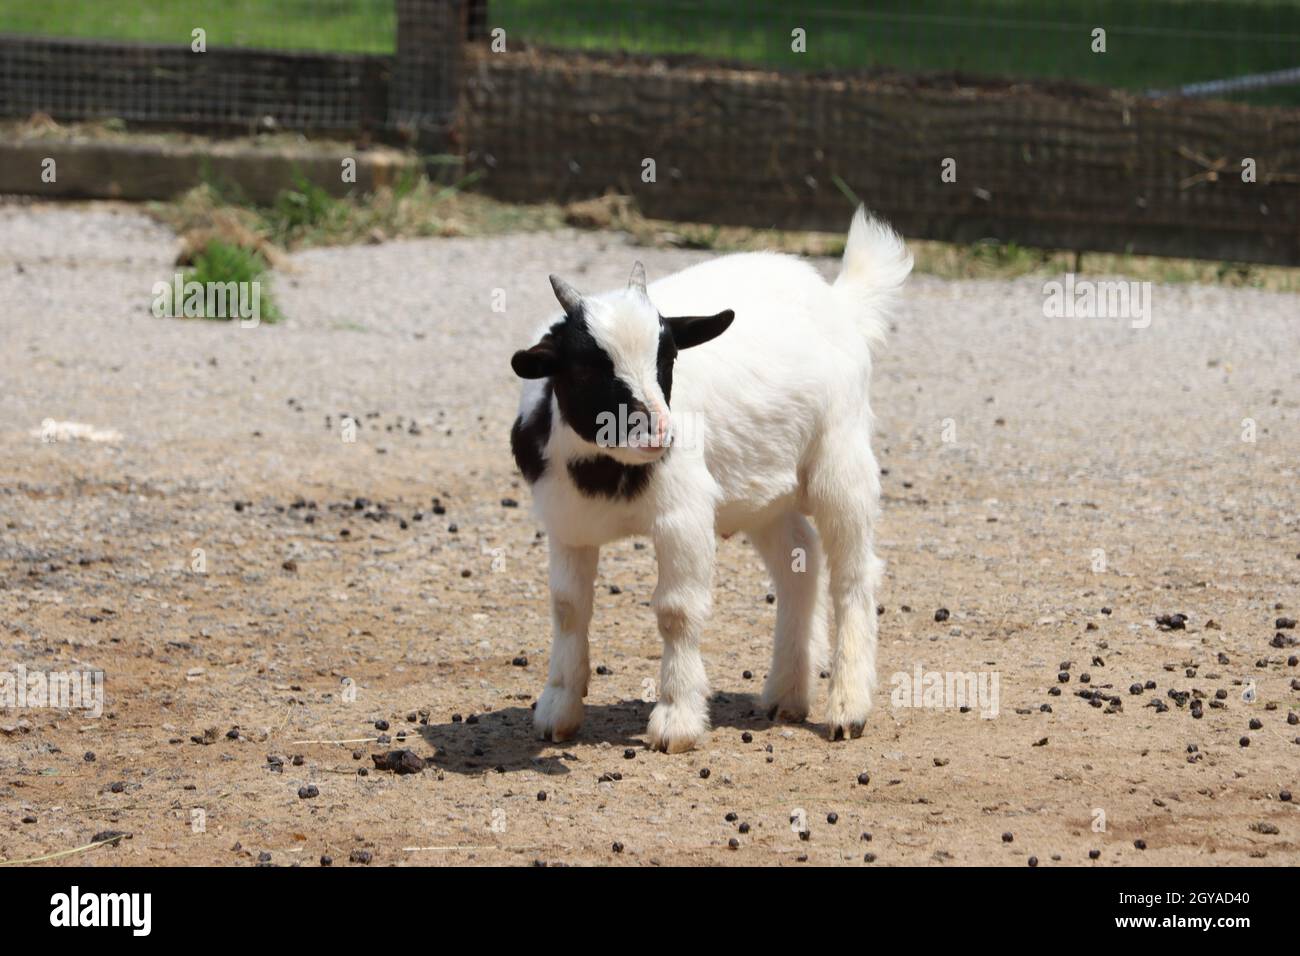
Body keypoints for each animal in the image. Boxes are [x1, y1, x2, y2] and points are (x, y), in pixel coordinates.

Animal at [509, 206, 912, 752]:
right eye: (587, 368)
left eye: (669, 357)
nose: (660, 434)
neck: (608, 469)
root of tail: (838, 300)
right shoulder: (567, 524)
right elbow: (568, 607)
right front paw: (558, 710)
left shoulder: (683, 516)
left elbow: (676, 611)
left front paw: (676, 720)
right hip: (763, 492)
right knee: (798, 561)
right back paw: (786, 694)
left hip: (841, 458)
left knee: (854, 573)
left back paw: (848, 707)